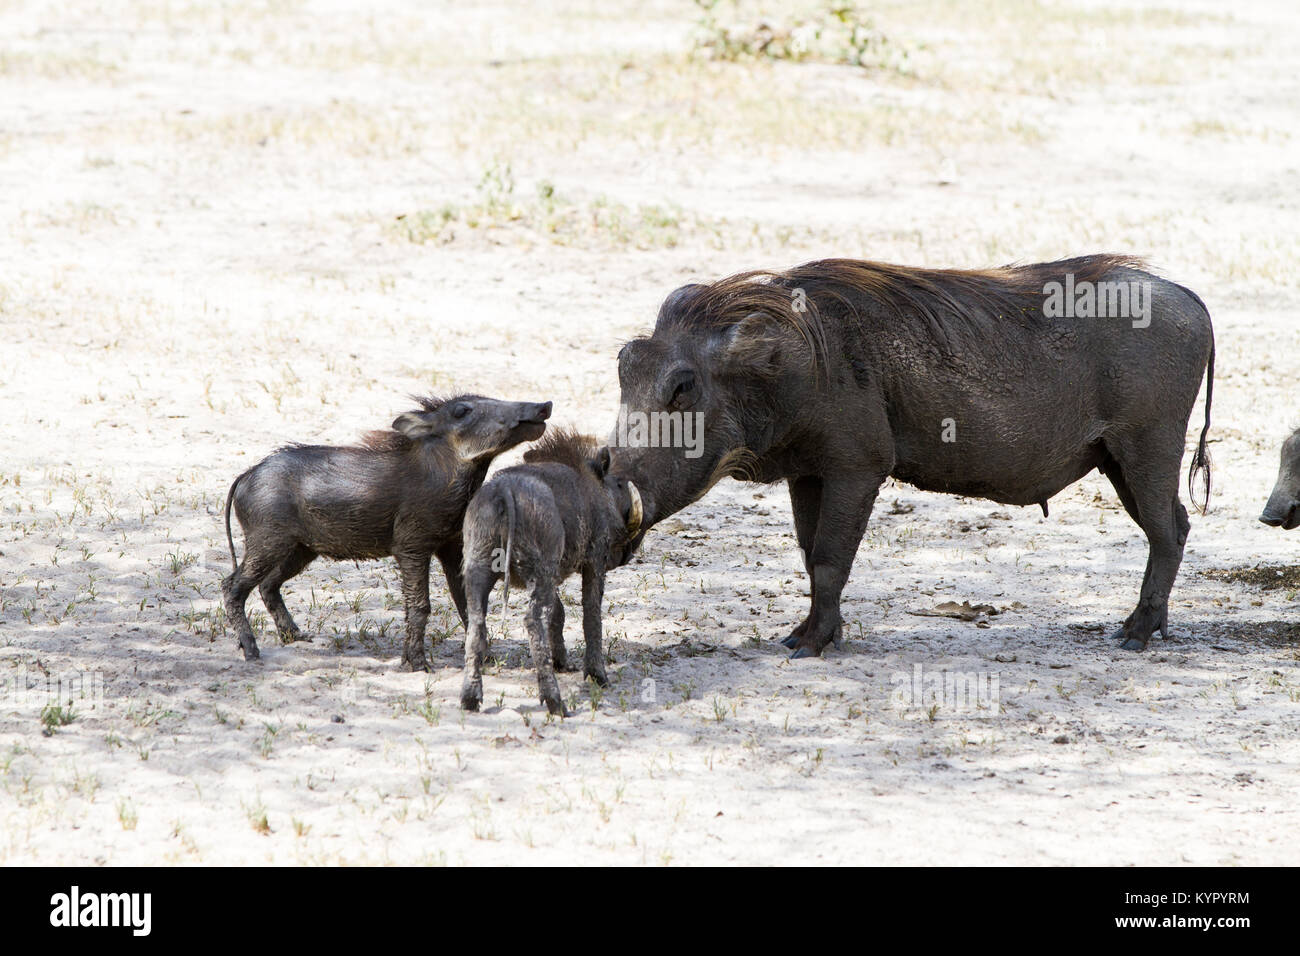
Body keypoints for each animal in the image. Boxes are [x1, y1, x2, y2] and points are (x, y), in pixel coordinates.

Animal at [221, 394, 552, 669]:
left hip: (301, 549)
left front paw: (487, 660)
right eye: (461, 411)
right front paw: (417, 664)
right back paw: (251, 651)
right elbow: (419, 605)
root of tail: (246, 474)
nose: (544, 405)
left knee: (268, 585)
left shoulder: (451, 546)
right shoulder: (412, 546)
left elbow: (469, 604)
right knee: (232, 586)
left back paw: (295, 637)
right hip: (267, 542)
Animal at [459, 428, 643, 716]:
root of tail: (504, 490)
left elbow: (558, 612)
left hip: (478, 568)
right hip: (539, 572)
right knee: (533, 621)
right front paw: (598, 677)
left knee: (477, 624)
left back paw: (470, 699)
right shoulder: (595, 558)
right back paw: (556, 702)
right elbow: (591, 613)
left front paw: (563, 663)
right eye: (618, 483)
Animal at [609, 255, 1214, 655]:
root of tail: (1190, 297)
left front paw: (813, 646)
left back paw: (1135, 634)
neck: (789, 364)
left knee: (1165, 532)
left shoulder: (856, 466)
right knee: (1177, 525)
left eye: (682, 388)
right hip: (1117, 461)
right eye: (624, 362)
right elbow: (810, 557)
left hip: (1148, 445)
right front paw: (805, 635)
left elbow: (830, 558)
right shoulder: (808, 473)